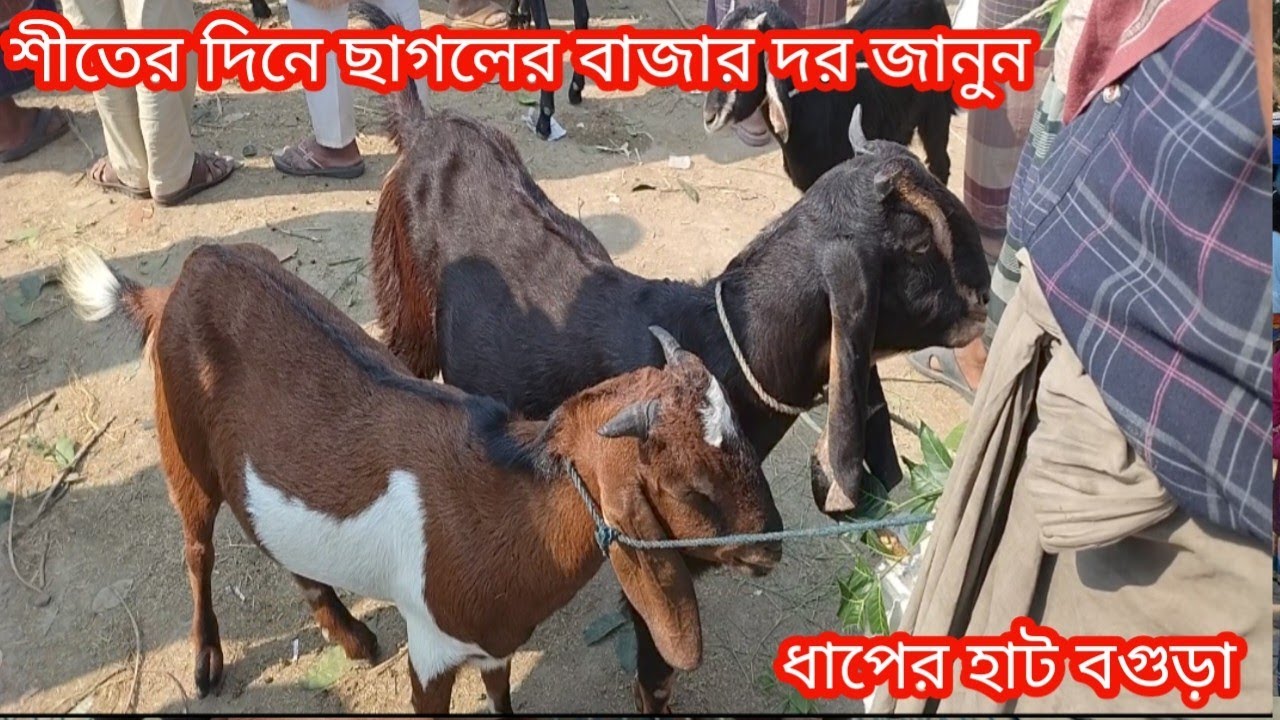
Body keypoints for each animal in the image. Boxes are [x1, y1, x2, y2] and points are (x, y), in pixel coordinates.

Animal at [59, 242, 782, 713]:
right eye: (690, 490)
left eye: (747, 446)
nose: (771, 546)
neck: (515, 508)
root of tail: (185, 276)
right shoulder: (432, 650)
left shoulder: (495, 645)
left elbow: (500, 700)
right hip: (179, 438)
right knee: (198, 545)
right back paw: (208, 658)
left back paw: (348, 634)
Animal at [369, 79, 989, 711]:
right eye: (917, 242)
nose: (984, 293)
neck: (716, 343)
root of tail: (427, 127)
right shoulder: (654, 544)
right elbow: (658, 668)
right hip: (406, 310)